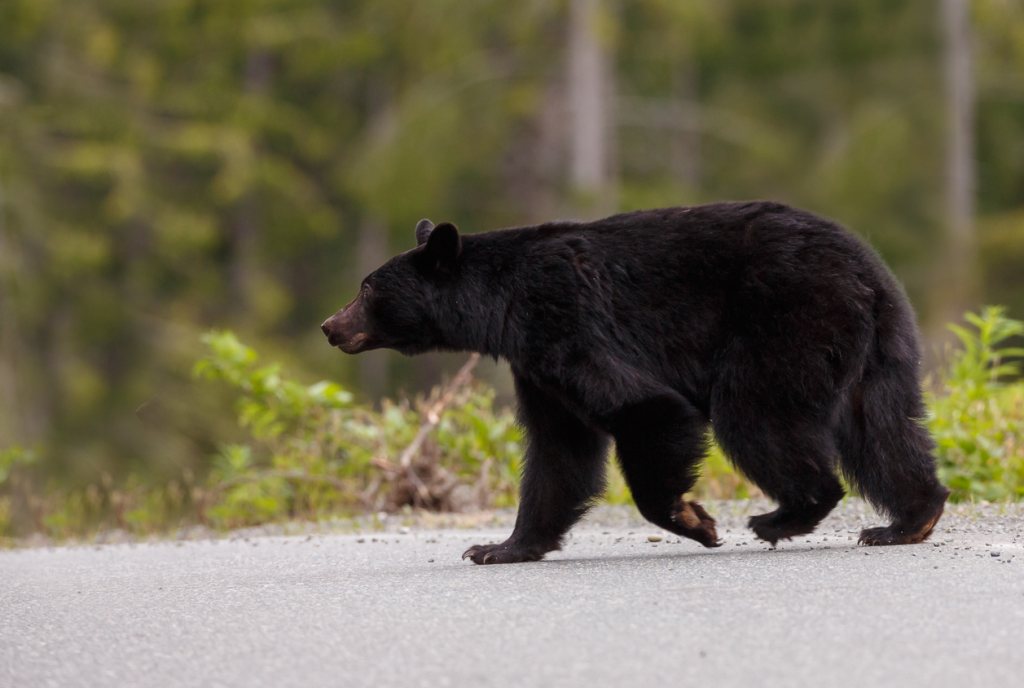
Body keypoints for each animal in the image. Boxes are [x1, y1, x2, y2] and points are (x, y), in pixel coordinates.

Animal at [321, 201, 950, 564]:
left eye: (367, 288)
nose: (330, 326)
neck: (502, 307)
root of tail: (867, 270)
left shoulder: (565, 321)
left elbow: (648, 408)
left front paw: (696, 521)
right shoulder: (536, 363)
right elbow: (559, 450)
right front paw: (498, 547)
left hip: (784, 322)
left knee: (756, 418)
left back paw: (781, 516)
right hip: (880, 345)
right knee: (883, 426)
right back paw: (907, 521)